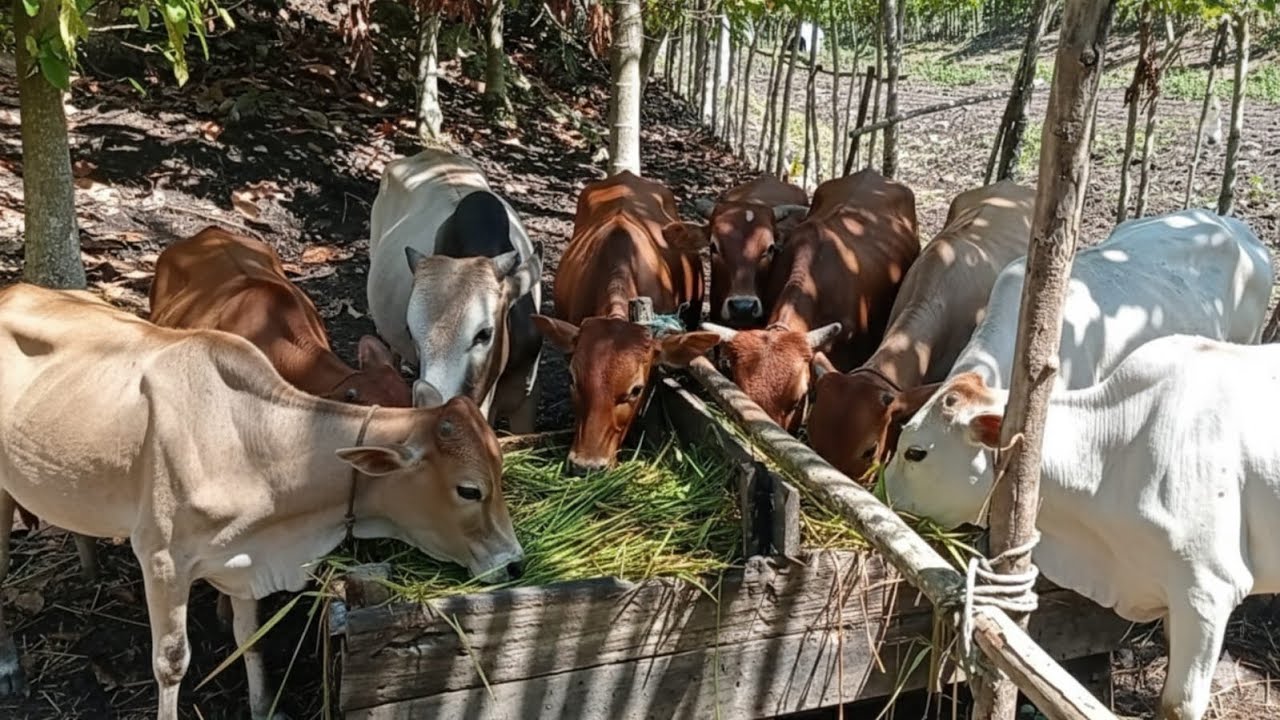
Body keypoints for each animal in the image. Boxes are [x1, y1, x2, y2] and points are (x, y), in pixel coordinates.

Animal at [0, 283, 522, 720]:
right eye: (469, 489)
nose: (515, 563)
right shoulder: (162, 560)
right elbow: (171, 662)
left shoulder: (243, 561)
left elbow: (250, 640)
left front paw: (262, 705)